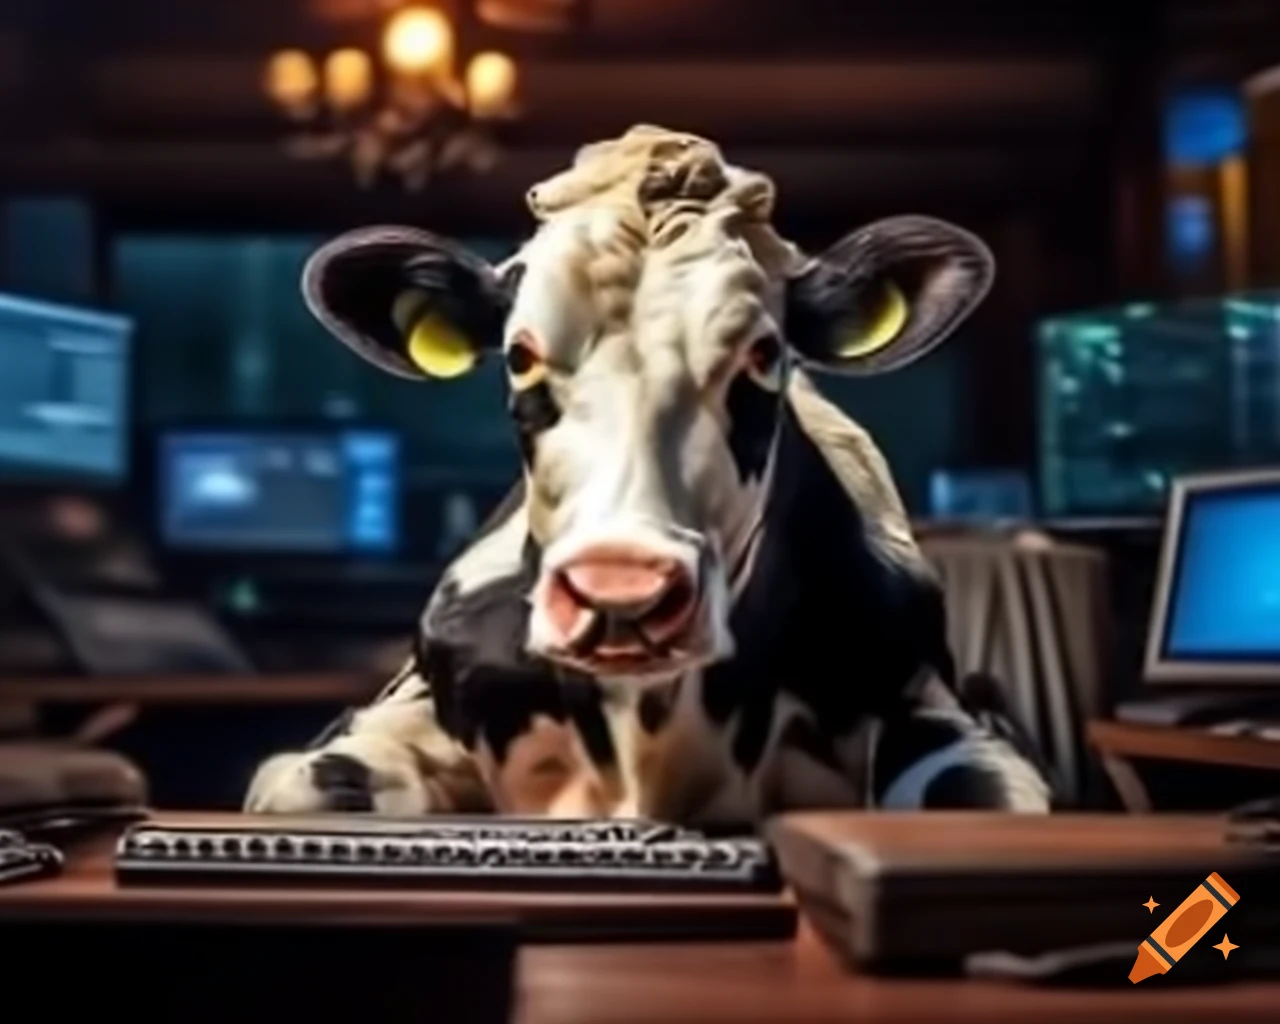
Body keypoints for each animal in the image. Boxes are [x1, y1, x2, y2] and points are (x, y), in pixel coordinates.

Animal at [245, 125, 1052, 827]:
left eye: (764, 354)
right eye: (520, 355)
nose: (619, 589)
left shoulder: (932, 703)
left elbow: (978, 798)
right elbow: (303, 786)